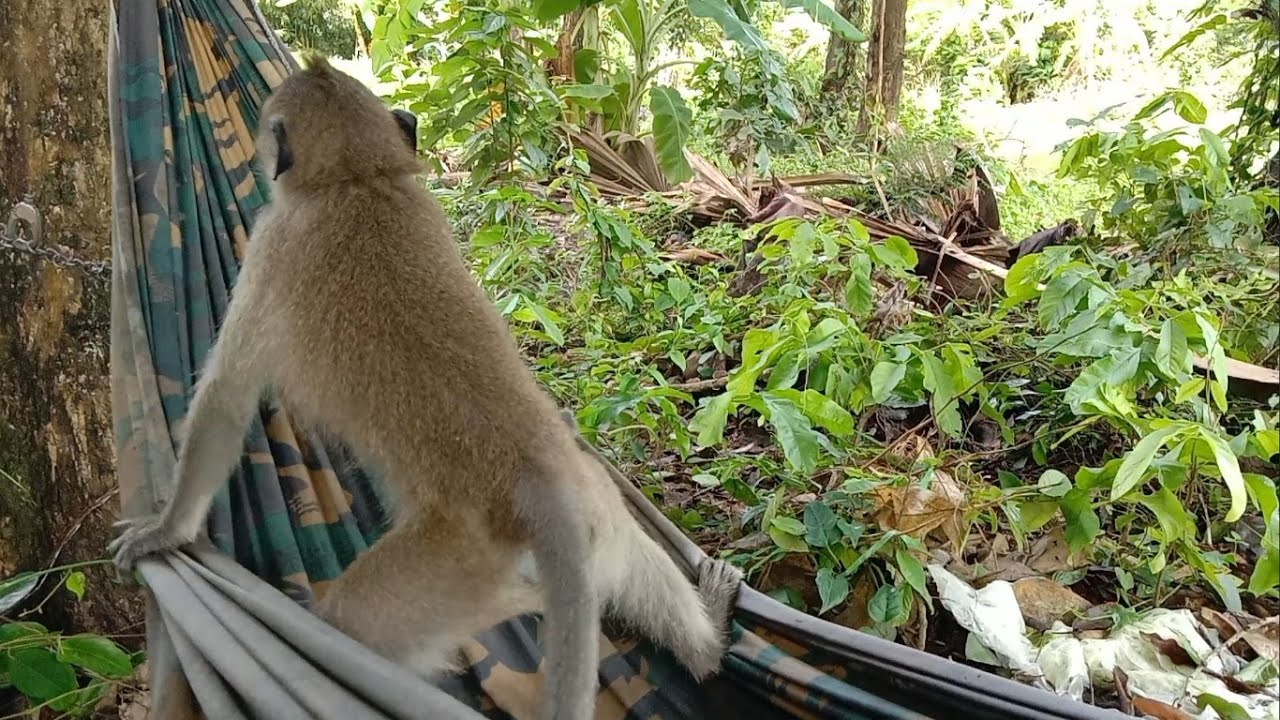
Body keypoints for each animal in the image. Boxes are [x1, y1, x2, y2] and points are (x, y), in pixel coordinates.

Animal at [110, 55, 741, 720]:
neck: (358, 177)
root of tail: (538, 484)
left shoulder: (271, 244)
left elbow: (225, 400)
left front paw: (164, 530)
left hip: (454, 563)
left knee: (357, 623)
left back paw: (509, 610)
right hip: (601, 511)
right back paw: (707, 642)